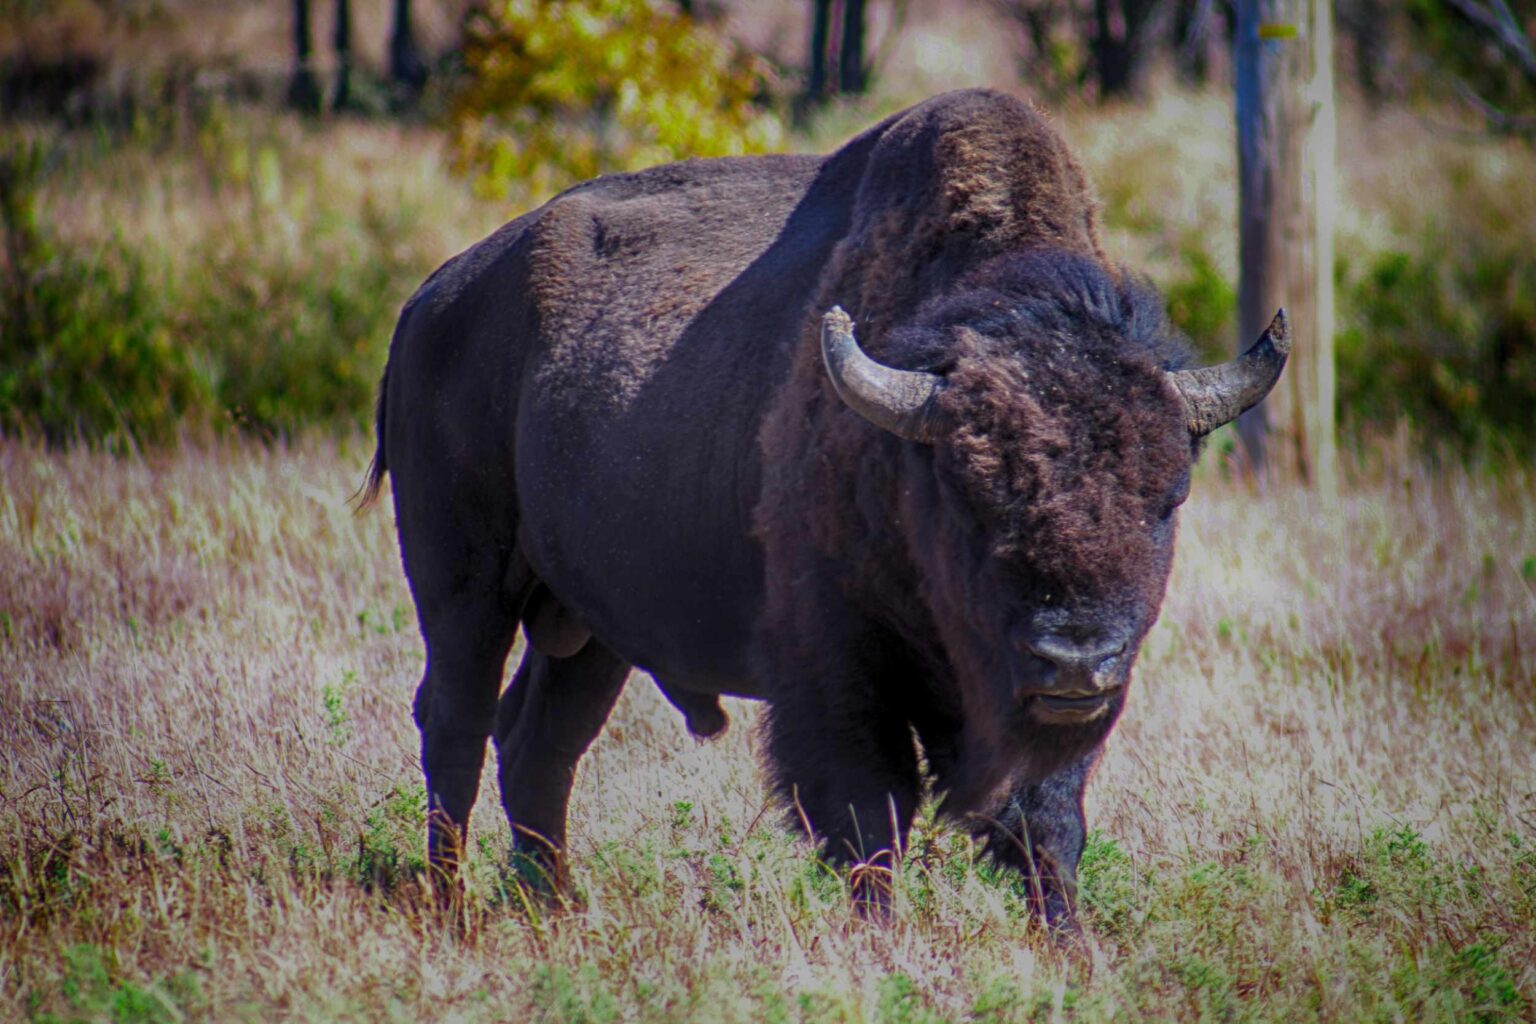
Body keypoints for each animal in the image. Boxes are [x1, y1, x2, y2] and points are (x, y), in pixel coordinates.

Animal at [357, 88, 1288, 931]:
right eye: (970, 491)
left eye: (1166, 498)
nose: (1074, 660)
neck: (904, 449)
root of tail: (428, 303)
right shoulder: (838, 668)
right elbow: (869, 819)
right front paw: (877, 938)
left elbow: (1044, 823)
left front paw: (1066, 945)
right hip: (463, 589)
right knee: (456, 726)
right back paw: (450, 908)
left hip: (589, 628)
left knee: (539, 745)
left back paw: (552, 909)